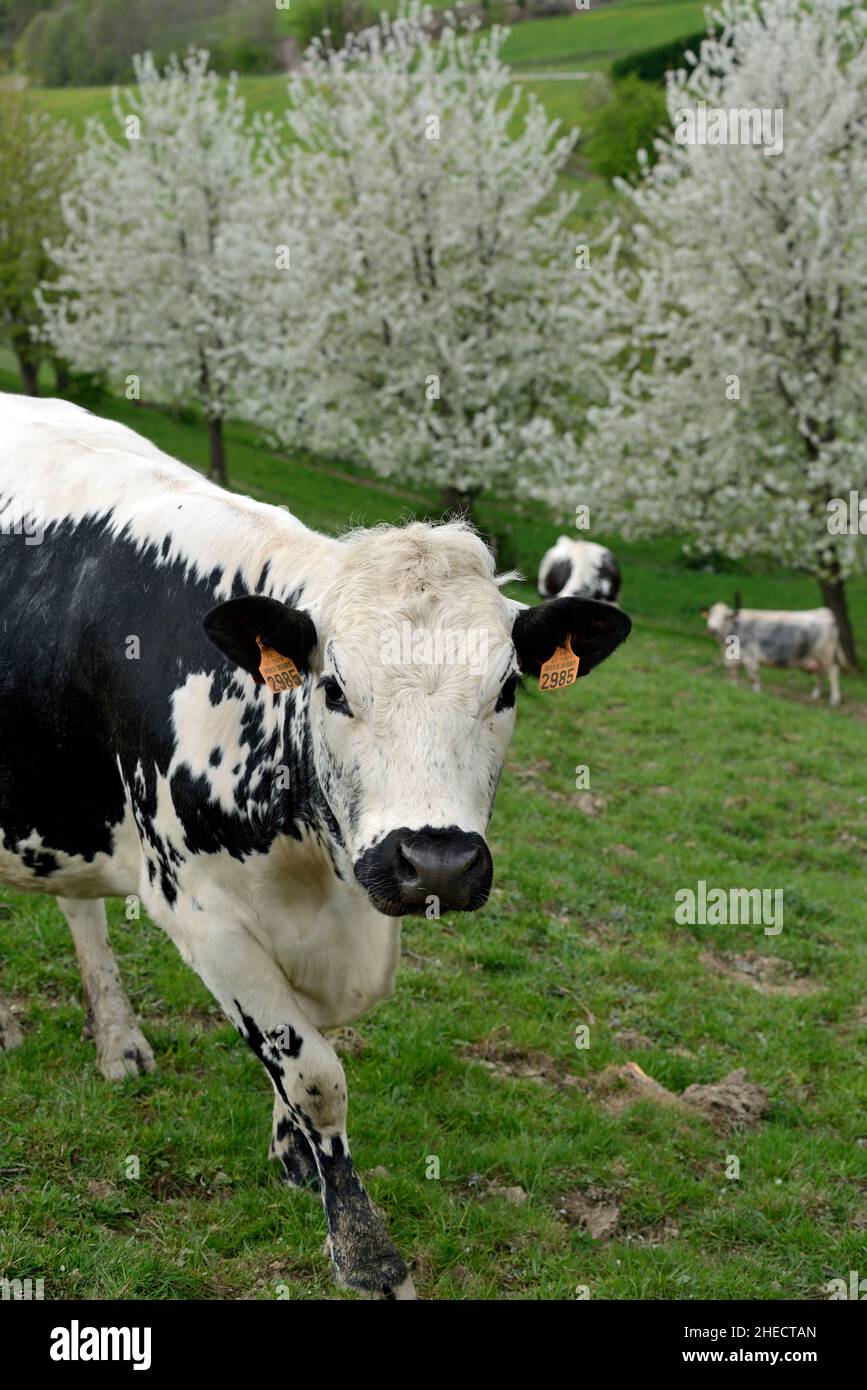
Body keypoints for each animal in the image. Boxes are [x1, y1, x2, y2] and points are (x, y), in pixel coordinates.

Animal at [0, 393, 631, 1299]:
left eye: (506, 689)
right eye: (334, 687)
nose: (436, 861)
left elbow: (308, 1041)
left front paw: (293, 1156)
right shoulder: (200, 912)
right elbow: (316, 1074)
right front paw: (365, 1251)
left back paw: (119, 1041)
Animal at [703, 601, 842, 706]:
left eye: (725, 617)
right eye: (710, 615)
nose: (711, 629)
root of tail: (825, 611)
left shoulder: (750, 657)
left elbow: (753, 678)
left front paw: (756, 694)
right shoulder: (733, 662)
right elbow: (733, 677)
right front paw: (734, 689)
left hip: (826, 655)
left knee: (833, 673)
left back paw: (834, 699)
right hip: (818, 658)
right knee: (821, 673)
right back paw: (815, 694)